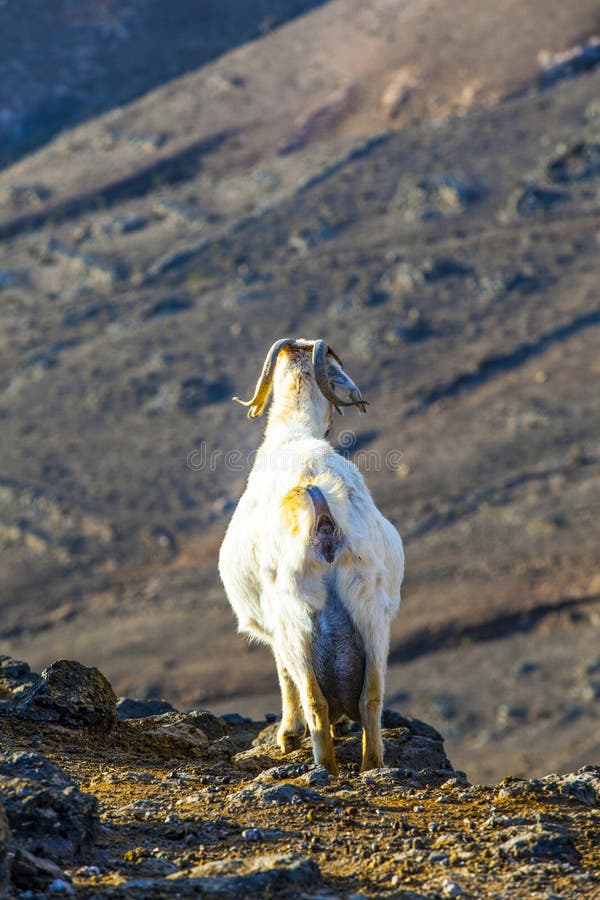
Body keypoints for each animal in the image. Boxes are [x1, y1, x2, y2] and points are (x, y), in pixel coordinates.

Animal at [218, 338, 404, 773]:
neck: (293, 435)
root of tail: (323, 518)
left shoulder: (273, 627)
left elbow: (283, 677)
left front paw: (287, 735)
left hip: (296, 621)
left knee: (314, 698)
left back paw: (324, 766)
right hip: (371, 614)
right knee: (371, 697)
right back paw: (371, 765)